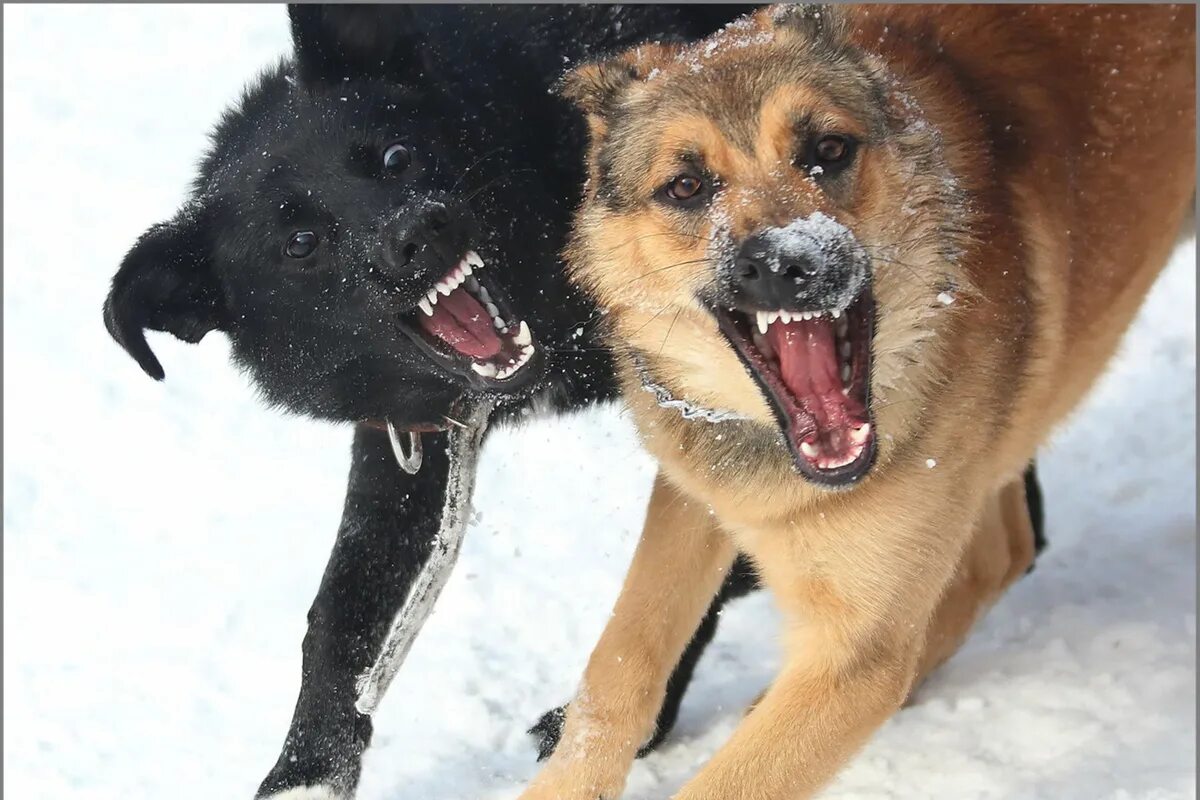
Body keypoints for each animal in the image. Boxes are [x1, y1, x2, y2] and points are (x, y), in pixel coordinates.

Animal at [105, 7, 758, 800]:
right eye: (299, 242)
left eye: (395, 156)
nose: (418, 231)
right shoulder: (408, 445)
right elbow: (341, 617)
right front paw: (307, 771)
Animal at [520, 6, 1195, 800]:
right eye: (686, 186)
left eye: (829, 149)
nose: (788, 261)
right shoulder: (695, 488)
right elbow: (618, 666)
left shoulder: (856, 652)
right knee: (1005, 549)